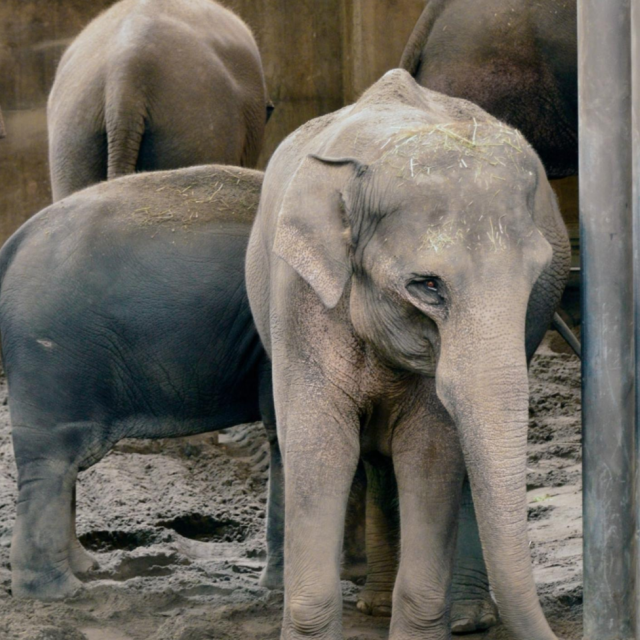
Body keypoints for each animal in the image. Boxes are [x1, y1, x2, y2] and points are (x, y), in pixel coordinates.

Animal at [246, 69, 570, 640]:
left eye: (534, 279)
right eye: (427, 286)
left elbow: (433, 451)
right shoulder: (300, 299)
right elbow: (320, 445)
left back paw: (464, 617)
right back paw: (374, 604)